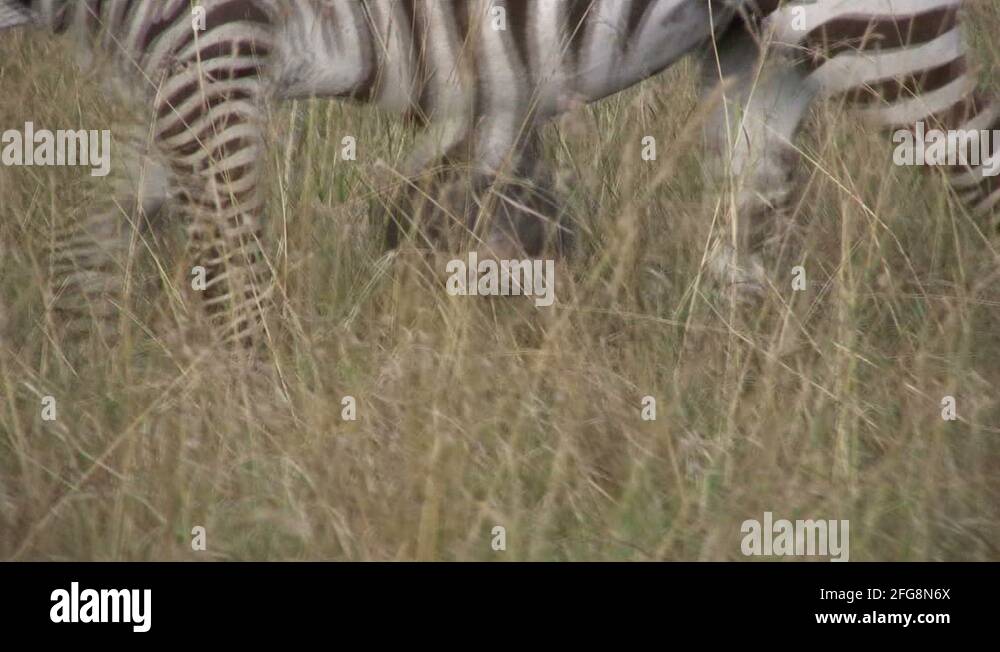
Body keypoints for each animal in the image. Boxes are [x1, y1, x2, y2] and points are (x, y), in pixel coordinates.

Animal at [0, 1, 996, 349]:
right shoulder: (174, 75)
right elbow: (91, 253)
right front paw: (95, 392)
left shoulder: (210, 46)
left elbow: (231, 273)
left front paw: (253, 416)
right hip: (760, 43)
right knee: (747, 236)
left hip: (880, 25)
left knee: (977, 165)